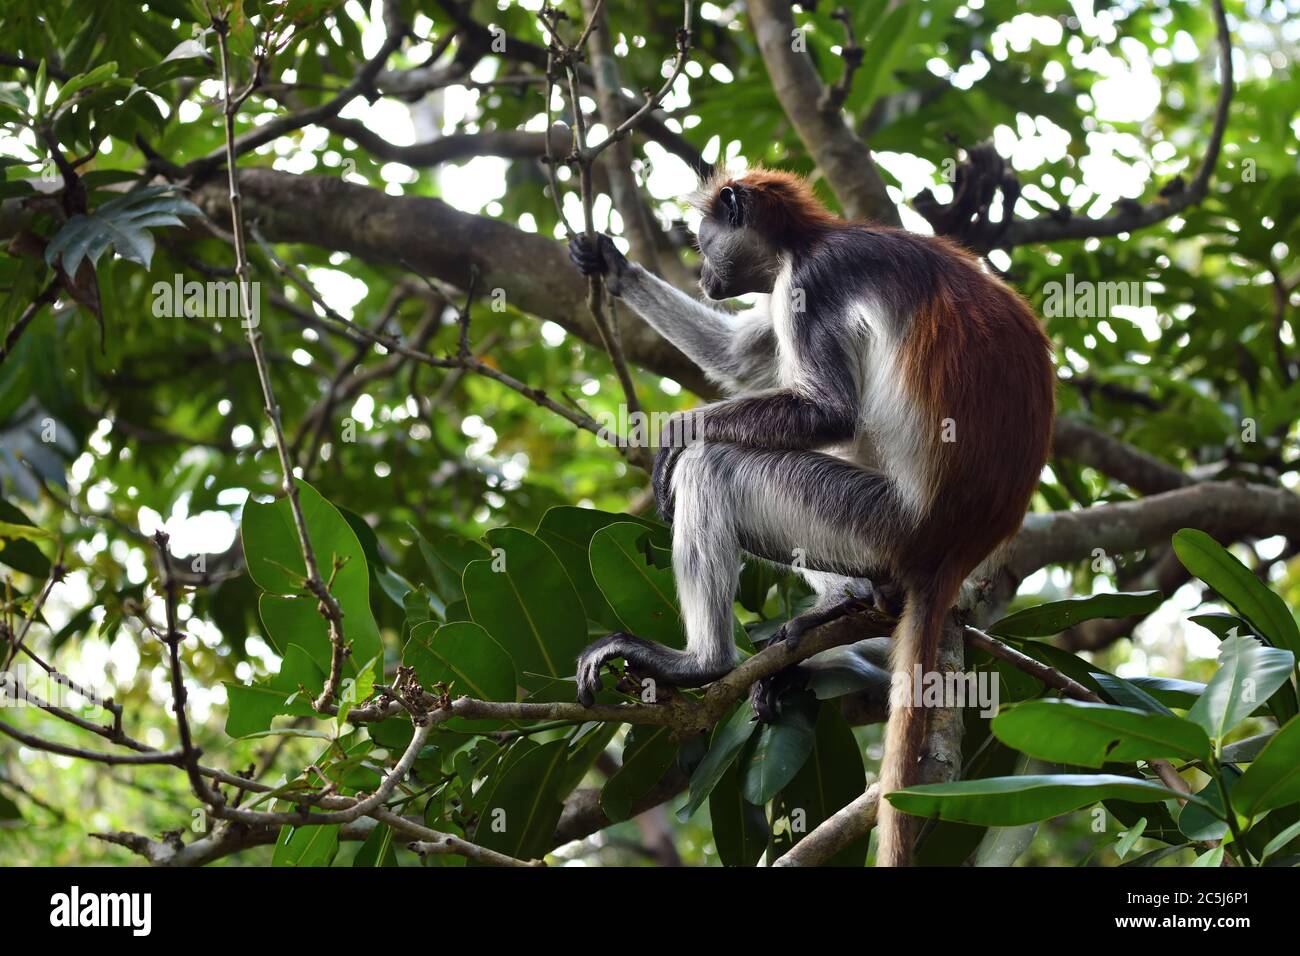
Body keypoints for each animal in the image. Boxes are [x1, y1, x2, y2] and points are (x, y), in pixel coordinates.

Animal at [567, 168, 1055, 866]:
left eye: (703, 242)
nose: (701, 271)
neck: (812, 237)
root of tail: (955, 546)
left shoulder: (811, 281)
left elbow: (825, 410)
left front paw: (678, 433)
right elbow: (740, 357)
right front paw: (609, 263)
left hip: (872, 519)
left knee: (713, 468)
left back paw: (705, 663)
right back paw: (843, 613)